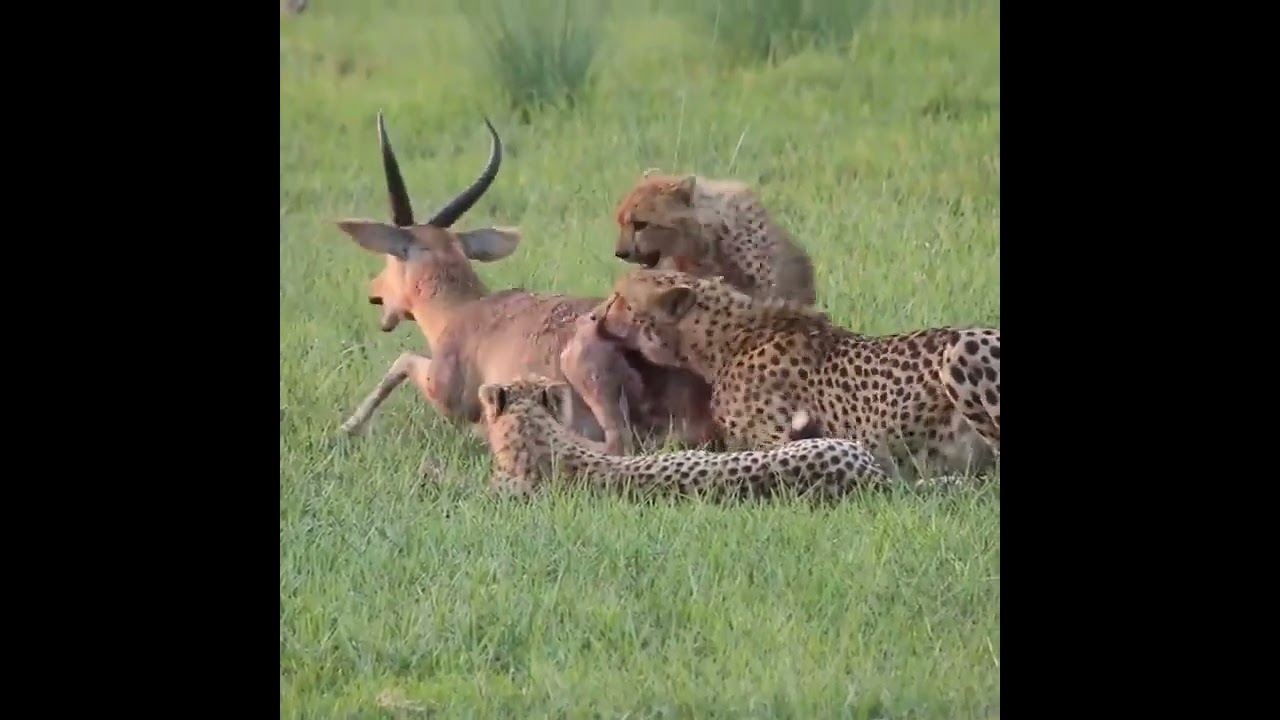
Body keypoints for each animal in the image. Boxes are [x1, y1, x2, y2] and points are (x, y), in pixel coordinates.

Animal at [333, 112, 715, 455]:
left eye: (392, 257)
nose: (374, 292)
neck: (463, 311)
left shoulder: (443, 391)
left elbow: (401, 361)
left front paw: (346, 427)